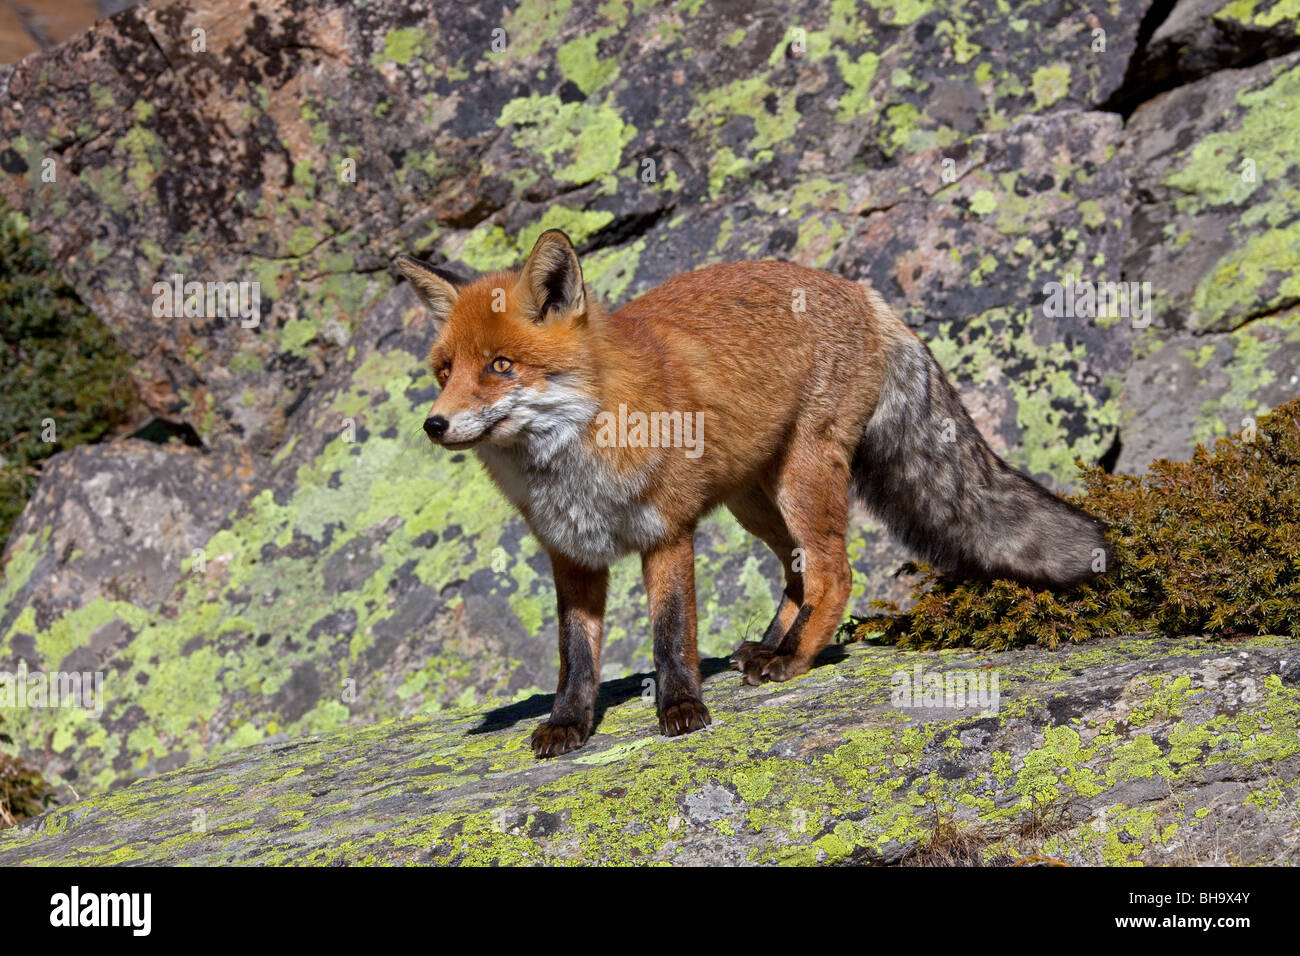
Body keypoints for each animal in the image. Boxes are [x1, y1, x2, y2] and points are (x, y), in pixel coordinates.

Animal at [395, 229, 1111, 758]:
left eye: (500, 367)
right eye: (443, 371)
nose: (434, 424)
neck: (579, 454)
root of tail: (862, 292)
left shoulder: (668, 532)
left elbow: (671, 634)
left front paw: (683, 708)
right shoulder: (571, 555)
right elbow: (576, 657)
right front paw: (569, 724)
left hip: (803, 480)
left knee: (834, 572)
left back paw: (792, 661)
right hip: (753, 501)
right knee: (797, 574)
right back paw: (772, 646)